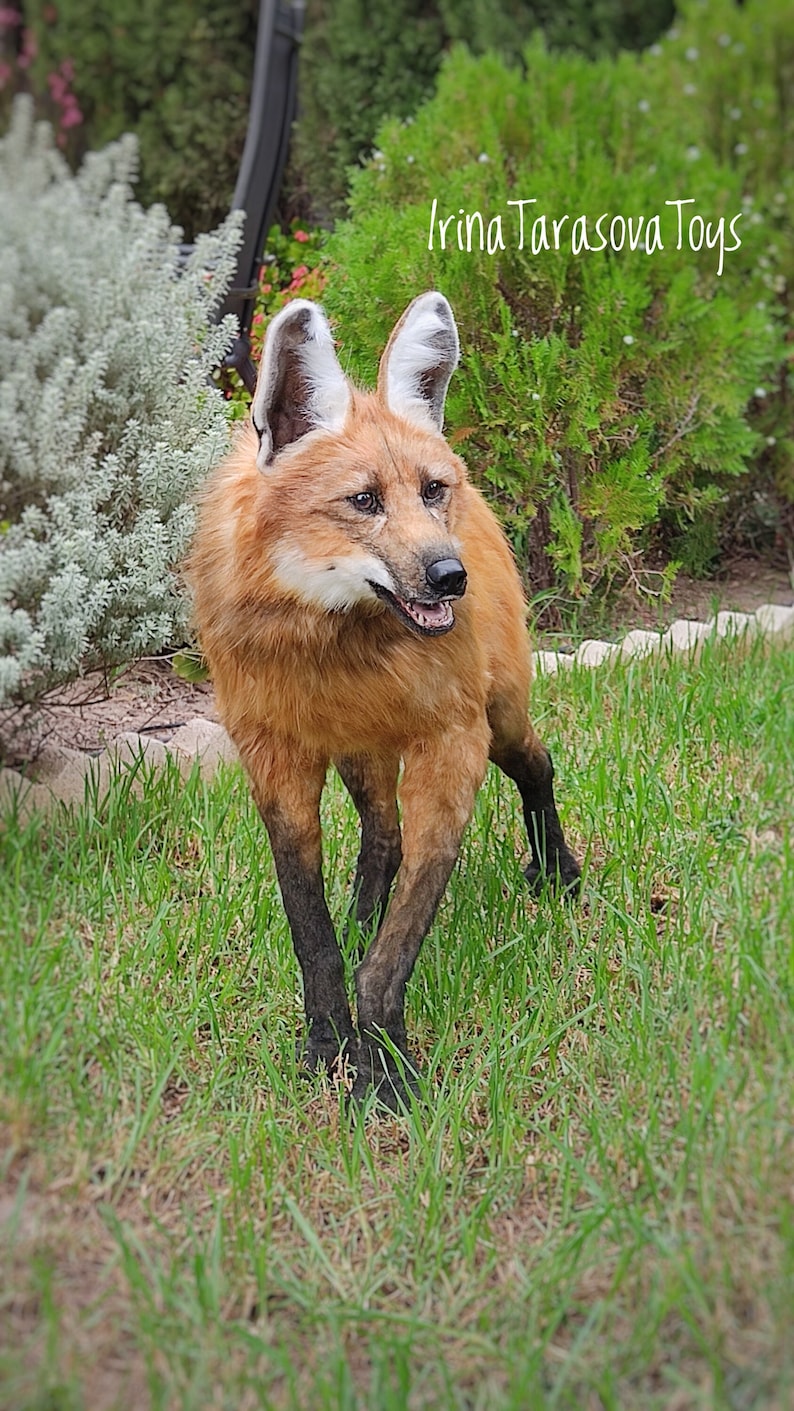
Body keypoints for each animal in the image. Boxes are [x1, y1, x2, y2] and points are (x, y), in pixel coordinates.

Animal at [190, 292, 580, 1106]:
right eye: (363, 500)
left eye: (430, 491)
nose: (449, 576)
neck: (344, 650)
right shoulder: (278, 760)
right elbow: (314, 937)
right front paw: (326, 1043)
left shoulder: (453, 746)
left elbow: (397, 948)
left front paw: (383, 1064)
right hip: (360, 757)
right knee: (382, 841)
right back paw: (359, 923)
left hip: (500, 720)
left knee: (538, 767)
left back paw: (558, 871)